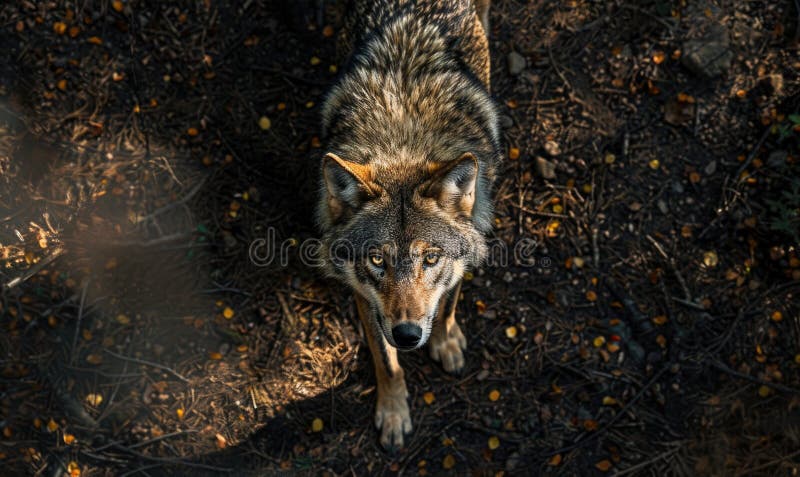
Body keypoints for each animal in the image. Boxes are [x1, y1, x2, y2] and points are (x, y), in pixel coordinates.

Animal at [317, 0, 500, 449]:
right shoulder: (365, 297)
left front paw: (446, 341)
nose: (407, 334)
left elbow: (447, 303)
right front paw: (393, 412)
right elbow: (386, 362)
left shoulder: (460, 257)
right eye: (377, 261)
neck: (404, 140)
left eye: (431, 258)